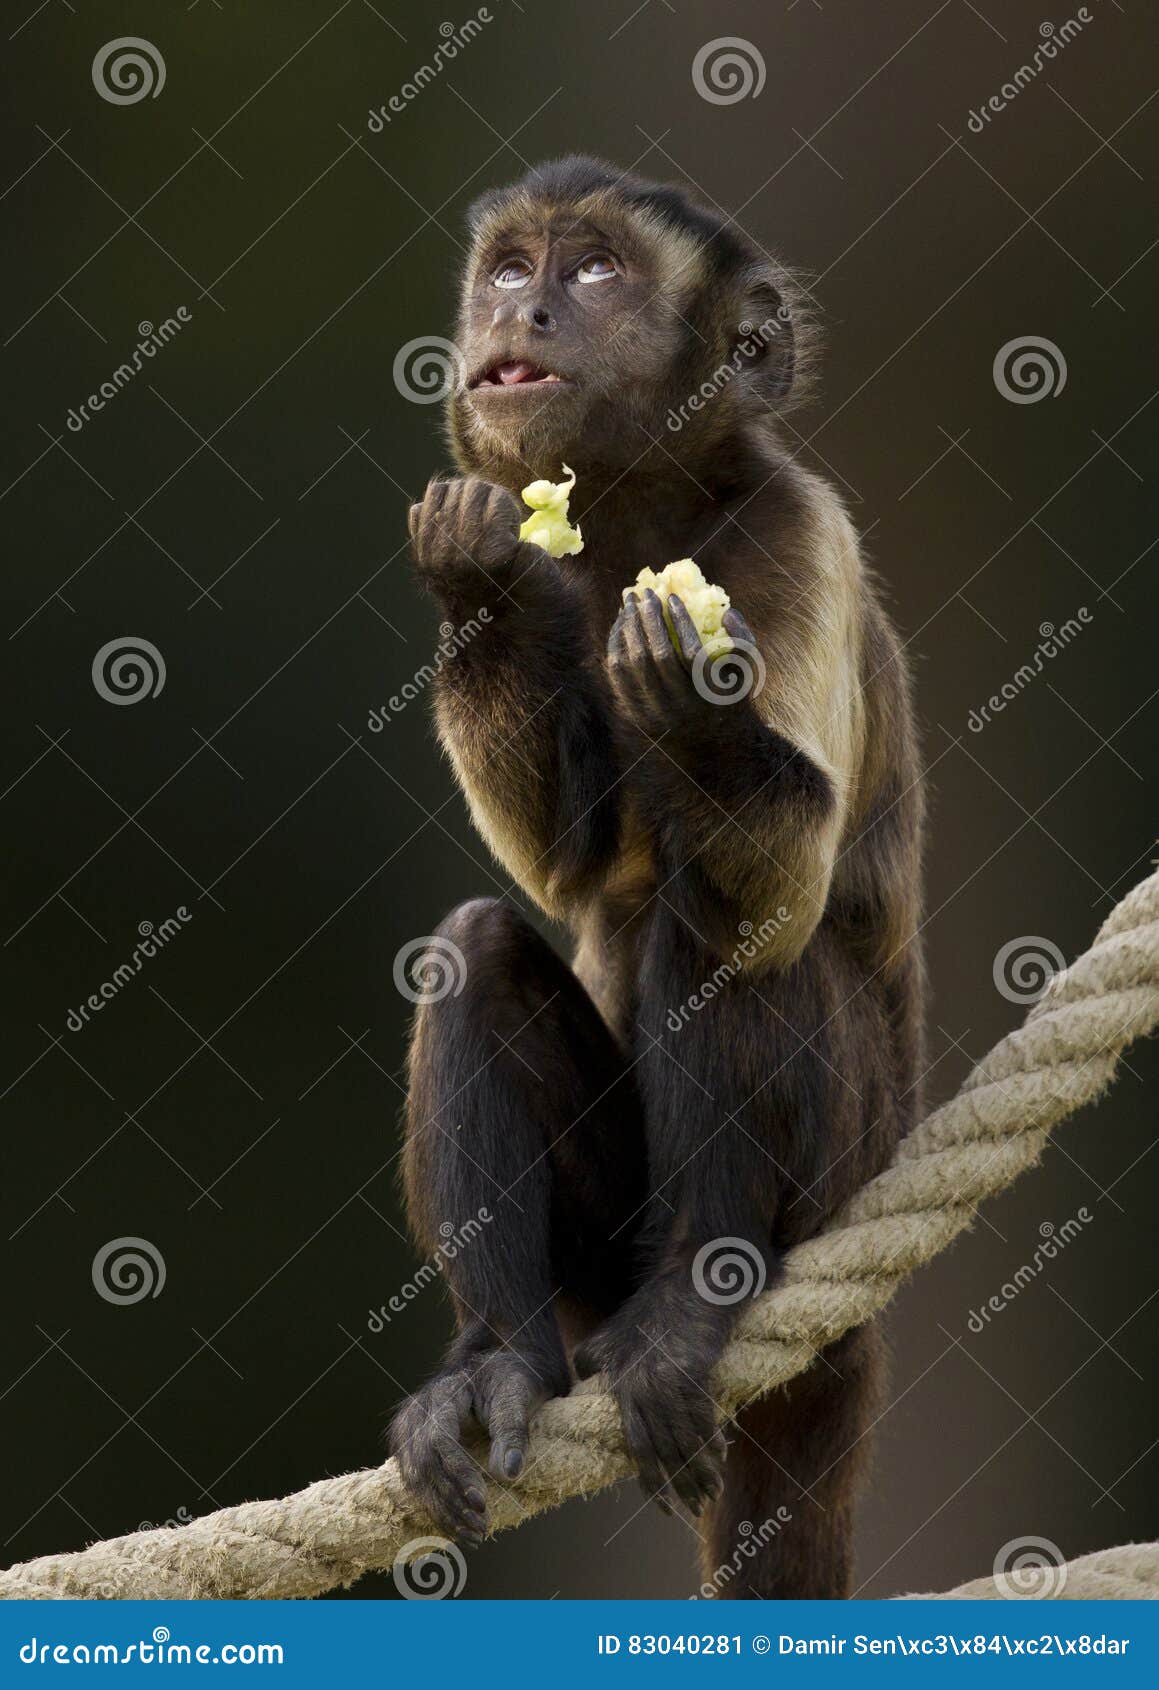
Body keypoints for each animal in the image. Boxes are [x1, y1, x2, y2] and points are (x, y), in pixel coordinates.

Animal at [388, 156, 924, 1599]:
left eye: (592, 273)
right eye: (511, 271)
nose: (521, 317)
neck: (641, 508)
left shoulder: (792, 532)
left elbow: (784, 886)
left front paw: (690, 696)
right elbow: (558, 860)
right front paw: (471, 572)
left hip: (848, 1167)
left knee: (716, 926)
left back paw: (696, 1288)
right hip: (594, 1257)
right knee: (475, 946)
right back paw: (498, 1357)